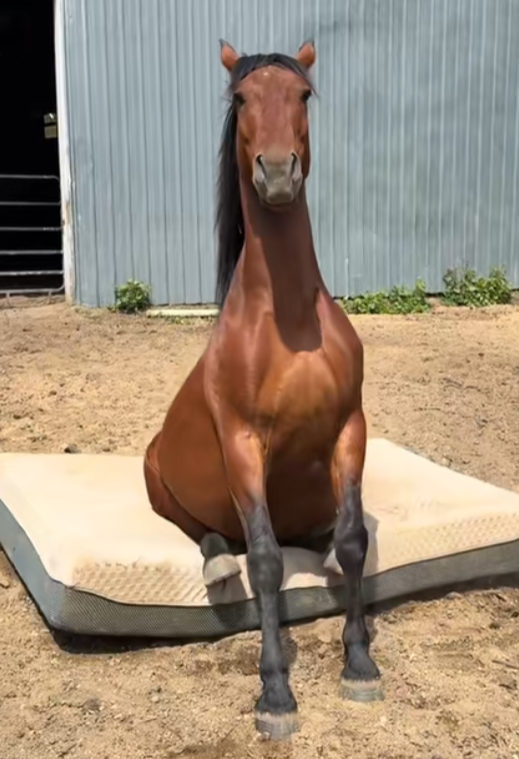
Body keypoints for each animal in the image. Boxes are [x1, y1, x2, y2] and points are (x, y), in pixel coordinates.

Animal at [143, 38, 382, 739]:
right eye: (243, 98)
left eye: (302, 94)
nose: (277, 174)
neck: (289, 321)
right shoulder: (244, 443)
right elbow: (268, 560)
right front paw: (275, 693)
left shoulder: (350, 429)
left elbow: (353, 541)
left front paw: (360, 663)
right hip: (158, 480)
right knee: (206, 534)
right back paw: (218, 563)